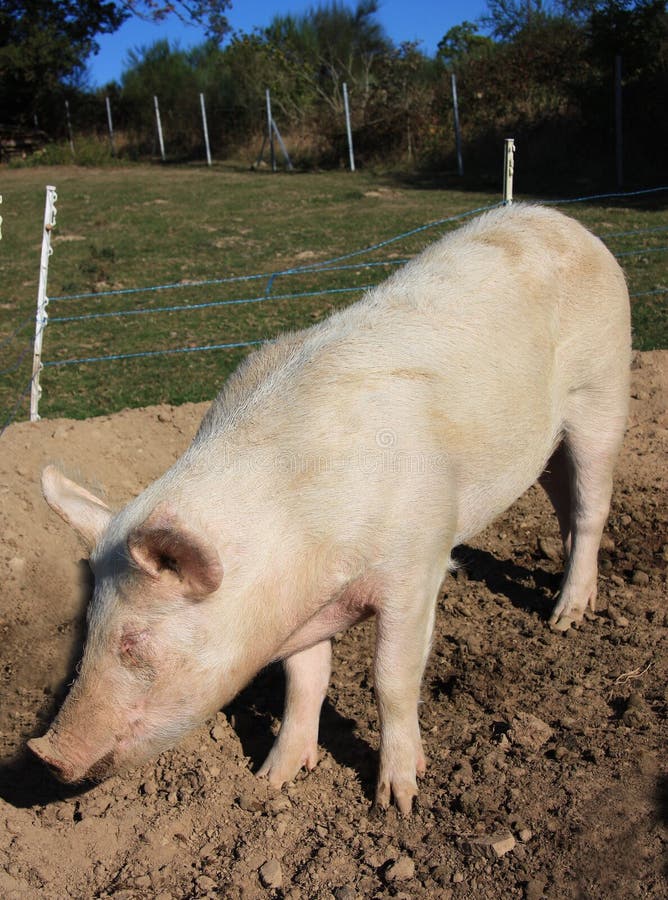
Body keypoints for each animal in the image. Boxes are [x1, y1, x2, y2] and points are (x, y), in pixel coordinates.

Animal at [28, 204, 630, 814]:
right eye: (89, 625)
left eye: (135, 643)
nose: (45, 754)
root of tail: (559, 220)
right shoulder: (299, 605)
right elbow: (305, 680)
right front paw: (272, 779)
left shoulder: (417, 563)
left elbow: (392, 678)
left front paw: (398, 800)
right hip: (546, 444)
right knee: (564, 500)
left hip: (603, 391)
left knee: (591, 506)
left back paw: (566, 617)